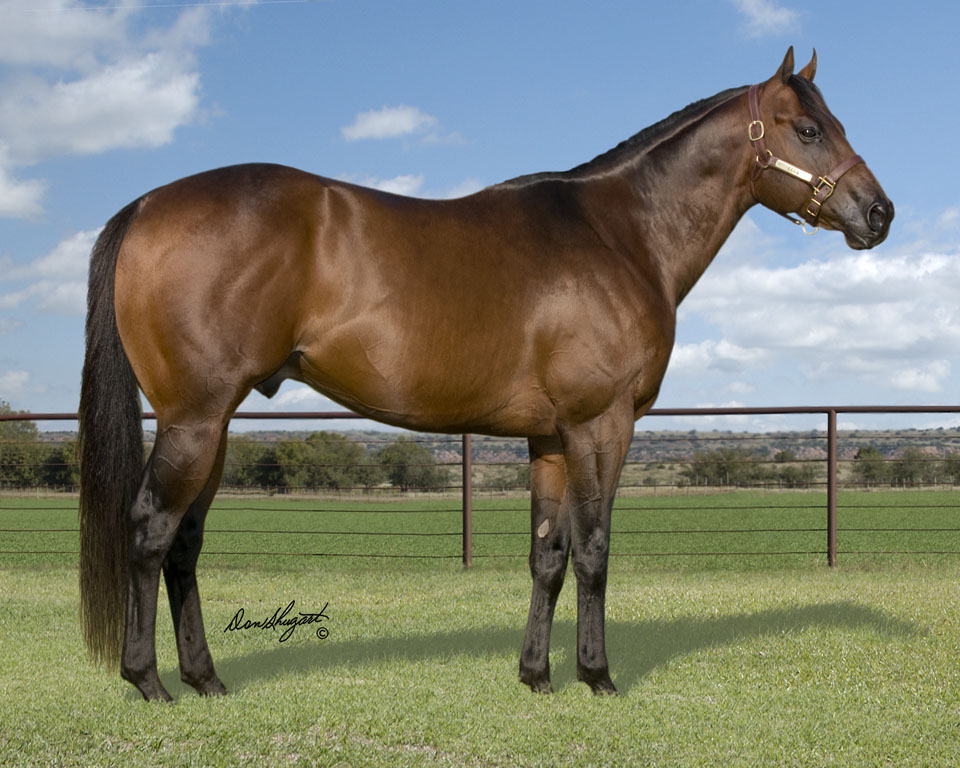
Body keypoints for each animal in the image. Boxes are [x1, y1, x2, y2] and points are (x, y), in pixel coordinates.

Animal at [78, 48, 892, 701]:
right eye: (808, 129)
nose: (878, 213)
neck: (621, 235)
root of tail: (147, 204)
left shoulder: (552, 439)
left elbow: (547, 555)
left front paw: (535, 676)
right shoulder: (602, 425)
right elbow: (593, 551)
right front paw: (597, 677)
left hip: (212, 426)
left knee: (184, 544)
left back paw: (207, 680)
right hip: (193, 419)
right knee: (150, 530)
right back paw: (148, 682)